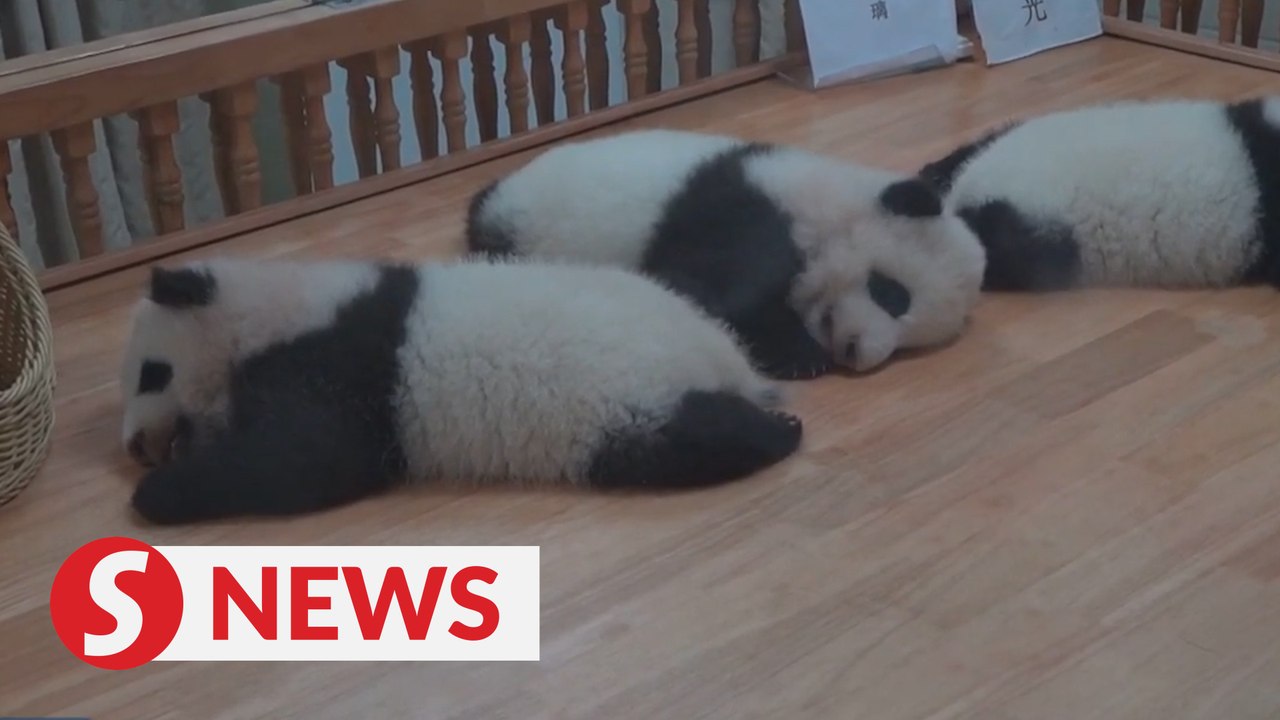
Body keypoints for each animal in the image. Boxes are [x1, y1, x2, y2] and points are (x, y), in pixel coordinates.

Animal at [119, 256, 803, 525]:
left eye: (151, 373)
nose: (134, 446)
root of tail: (727, 361)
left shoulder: (339, 361)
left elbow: (311, 459)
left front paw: (161, 492)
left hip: (628, 403)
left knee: (693, 441)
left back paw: (780, 432)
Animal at [466, 129, 987, 380]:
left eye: (907, 340)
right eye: (892, 293)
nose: (857, 352)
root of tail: (492, 201)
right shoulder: (749, 211)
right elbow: (715, 290)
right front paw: (799, 355)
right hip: (535, 220)